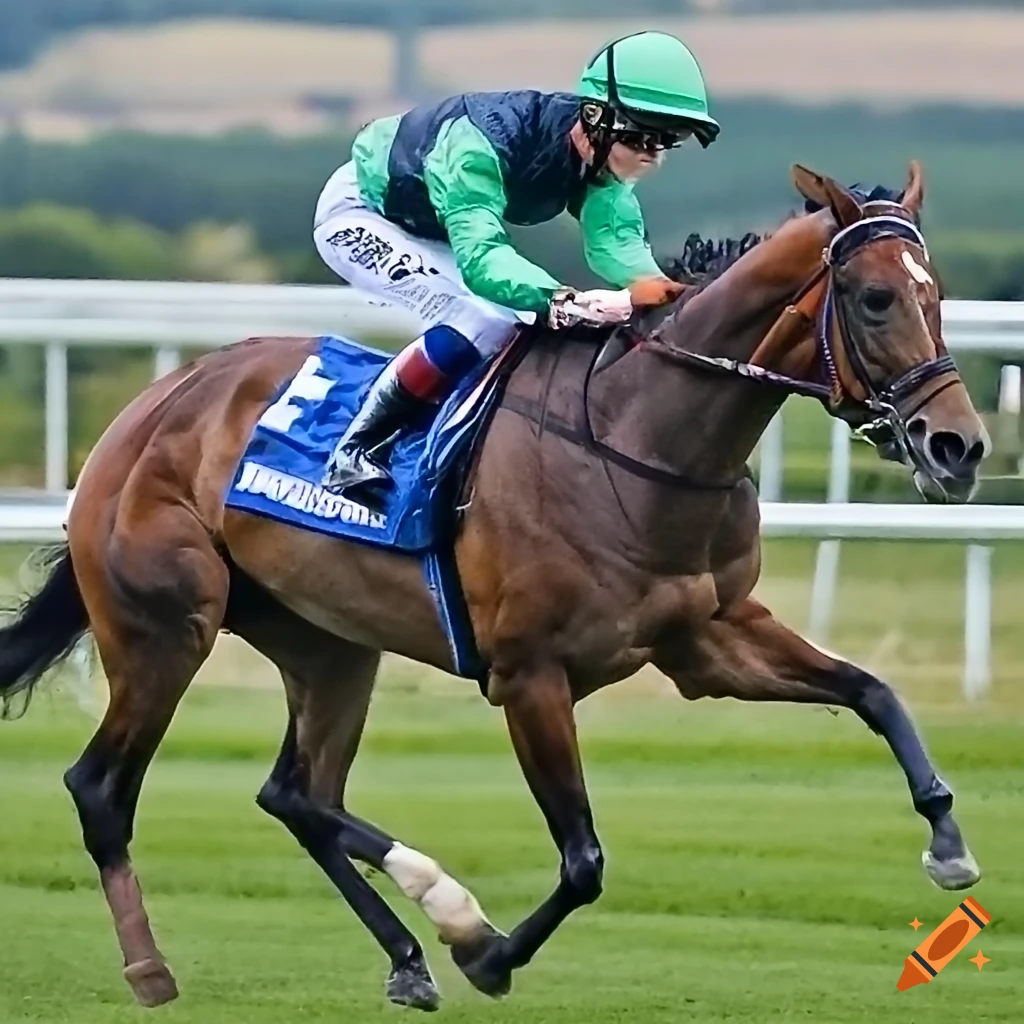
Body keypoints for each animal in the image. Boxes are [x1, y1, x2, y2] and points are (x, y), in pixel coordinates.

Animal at [0, 162, 989, 1012]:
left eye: (936, 295)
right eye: (874, 298)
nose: (958, 445)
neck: (640, 440)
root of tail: (144, 412)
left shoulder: (708, 637)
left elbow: (871, 690)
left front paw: (947, 841)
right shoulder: (530, 675)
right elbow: (583, 861)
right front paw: (491, 952)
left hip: (327, 643)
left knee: (298, 796)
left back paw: (415, 942)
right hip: (167, 627)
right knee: (103, 788)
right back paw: (160, 966)